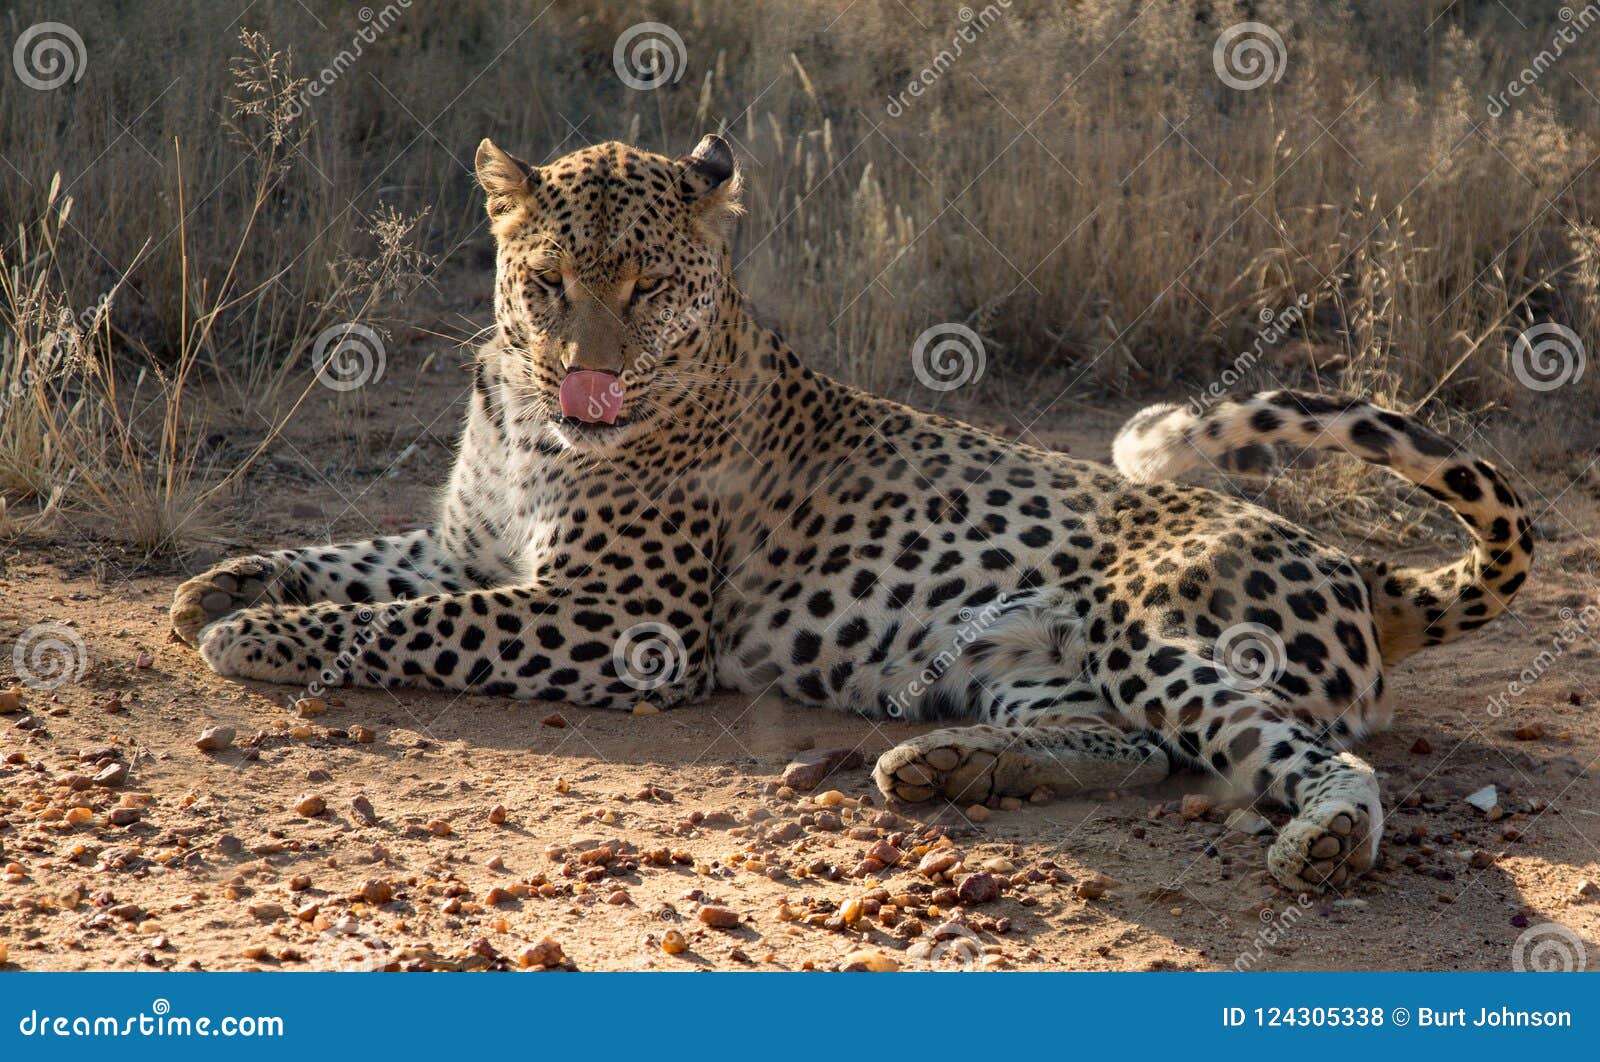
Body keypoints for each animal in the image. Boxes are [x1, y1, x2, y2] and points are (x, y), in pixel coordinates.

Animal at [171, 133, 1533, 893]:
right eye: (545, 282)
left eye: (645, 285)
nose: (583, 379)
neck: (522, 414)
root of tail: (1365, 574)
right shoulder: (467, 546)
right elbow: (363, 562)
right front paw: (221, 586)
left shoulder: (620, 620)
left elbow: (412, 624)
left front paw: (260, 637)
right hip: (1019, 661)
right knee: (1144, 747)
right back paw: (950, 767)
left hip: (1160, 632)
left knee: (1306, 755)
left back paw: (1326, 847)